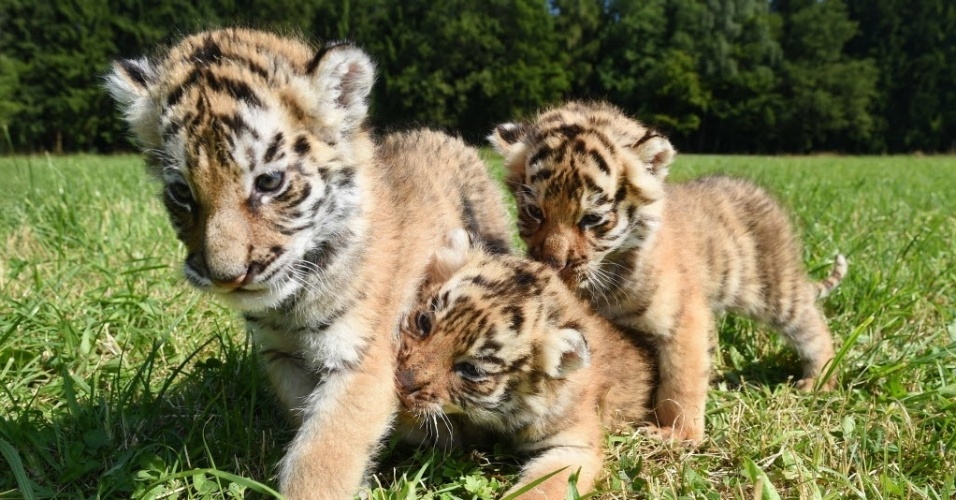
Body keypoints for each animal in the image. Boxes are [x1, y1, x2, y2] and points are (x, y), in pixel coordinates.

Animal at [105, 28, 513, 498]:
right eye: (181, 192)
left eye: (268, 181)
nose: (228, 276)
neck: (290, 304)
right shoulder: (279, 354)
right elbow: (306, 419)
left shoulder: (363, 359)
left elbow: (323, 454)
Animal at [489, 100, 847, 444]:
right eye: (534, 211)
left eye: (592, 219)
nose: (553, 263)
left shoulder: (682, 319)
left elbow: (682, 380)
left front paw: (678, 434)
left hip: (775, 288)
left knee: (811, 324)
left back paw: (818, 378)